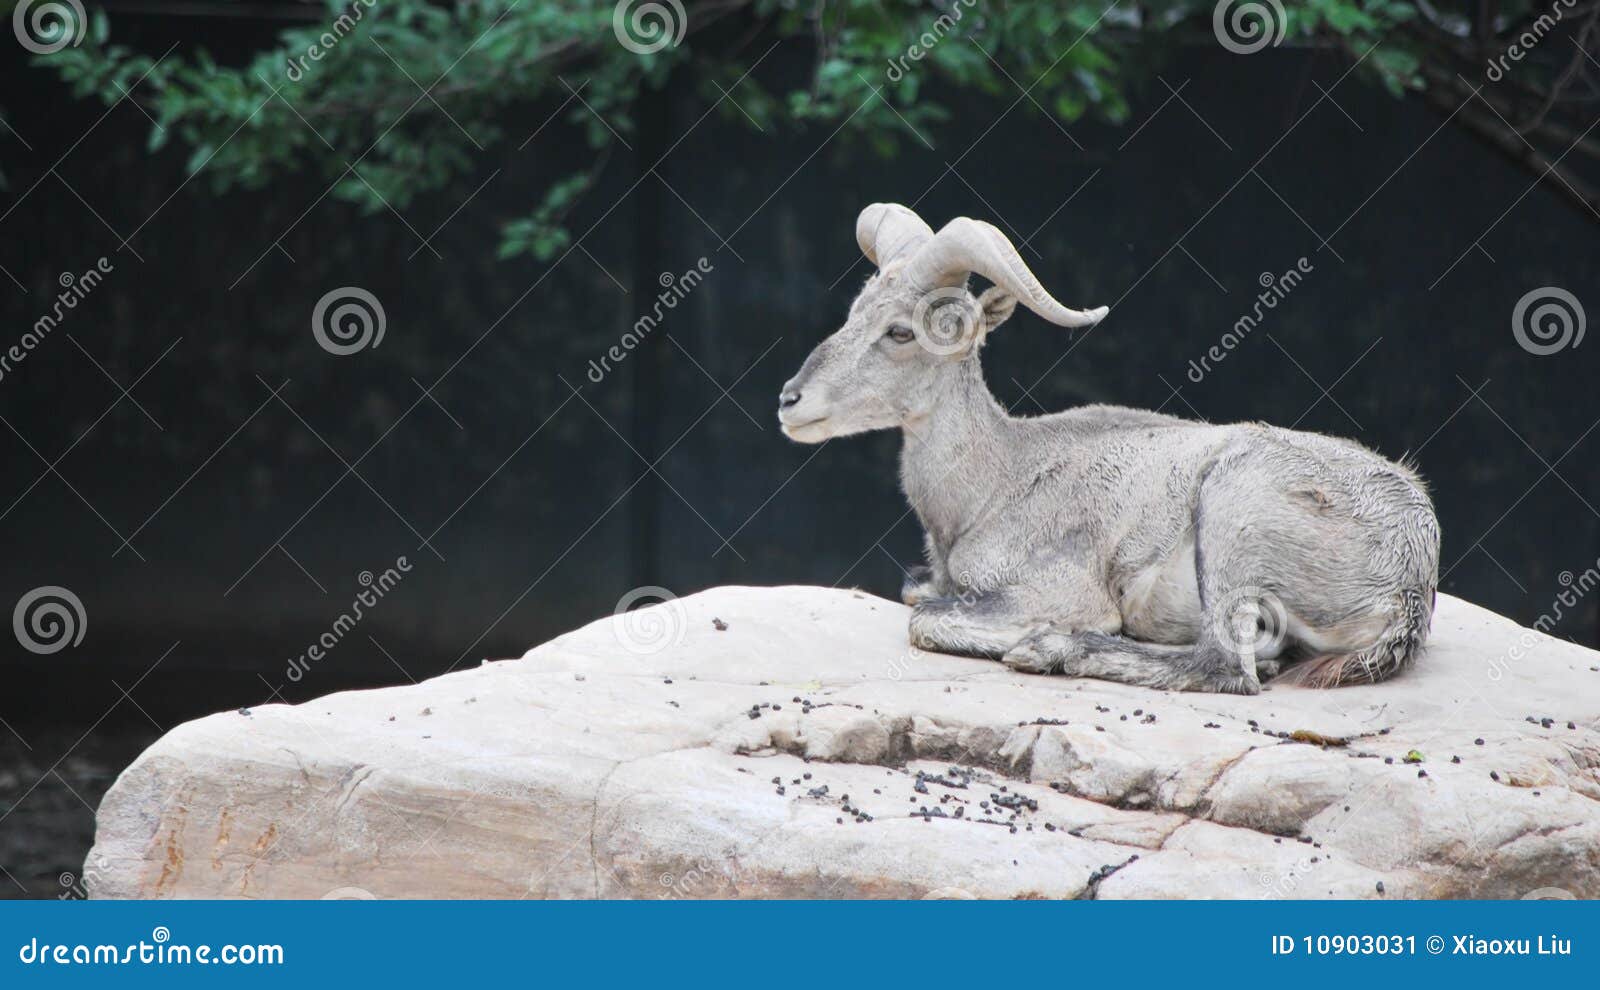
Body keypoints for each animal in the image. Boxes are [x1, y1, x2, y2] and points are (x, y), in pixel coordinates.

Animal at [777, 203, 1440, 695]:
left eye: (900, 331)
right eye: (853, 313)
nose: (791, 399)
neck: (995, 483)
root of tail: (1410, 574)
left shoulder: (1058, 586)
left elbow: (926, 619)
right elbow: (917, 594)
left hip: (1232, 513)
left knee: (1226, 666)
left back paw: (1050, 649)